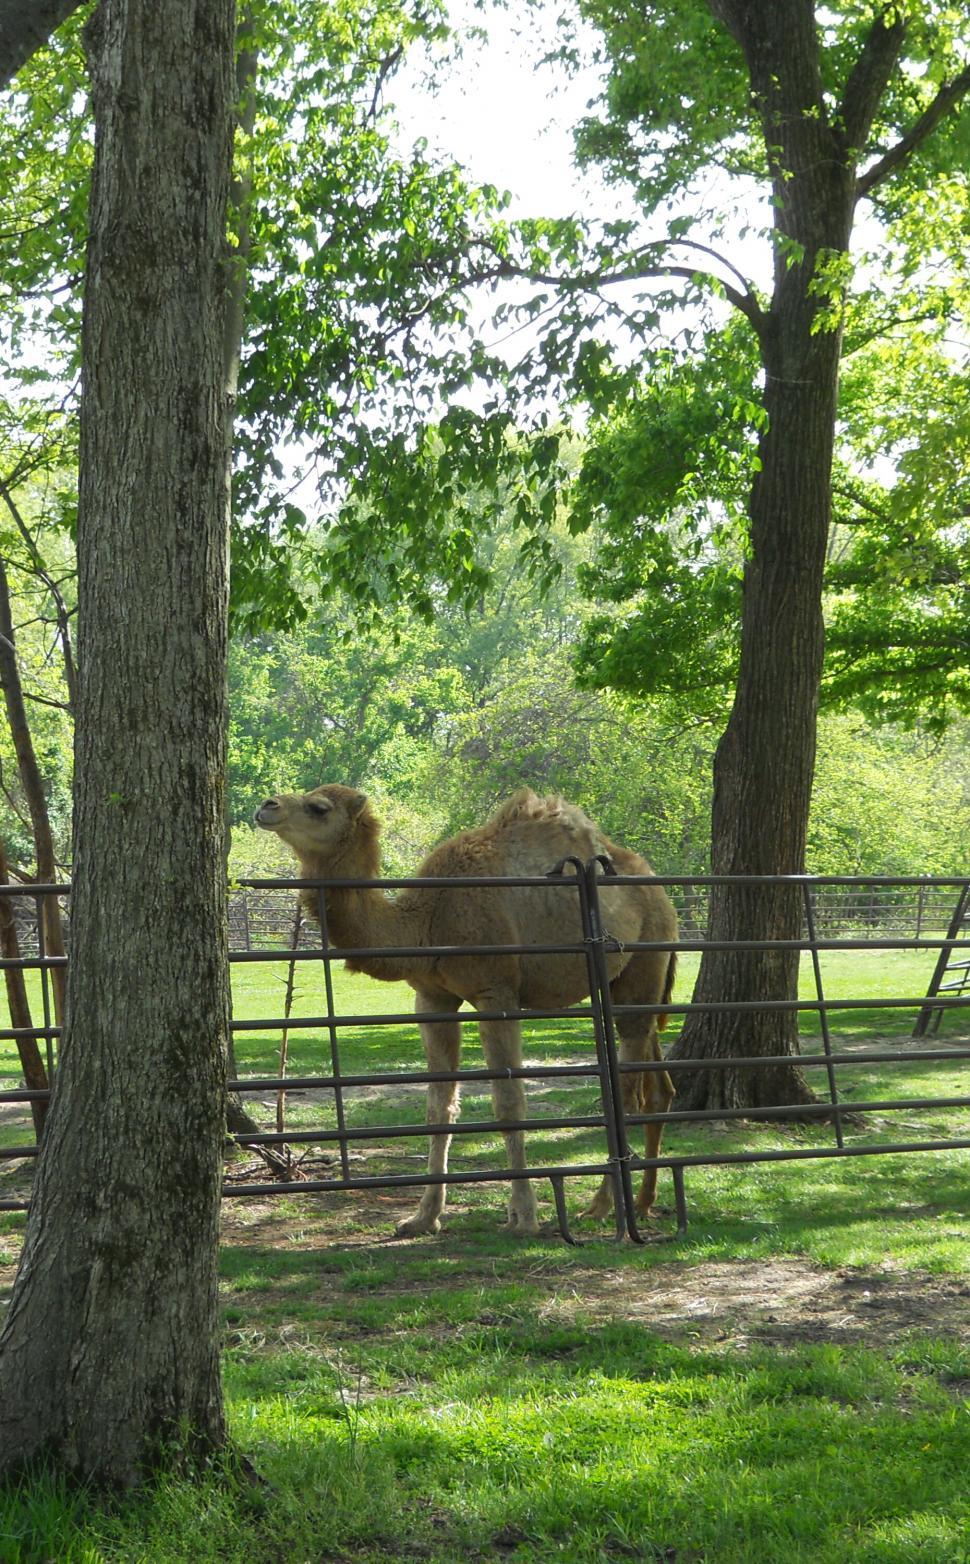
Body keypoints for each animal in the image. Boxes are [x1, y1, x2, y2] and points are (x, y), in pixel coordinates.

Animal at [254, 784, 677, 1237]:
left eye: (319, 808)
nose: (266, 806)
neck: (427, 921)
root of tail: (661, 893)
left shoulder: (496, 993)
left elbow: (509, 1104)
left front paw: (524, 1216)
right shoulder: (432, 997)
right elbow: (438, 1107)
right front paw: (423, 1217)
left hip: (644, 965)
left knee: (629, 1089)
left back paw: (601, 1207)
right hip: (624, 986)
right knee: (655, 1086)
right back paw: (643, 1202)